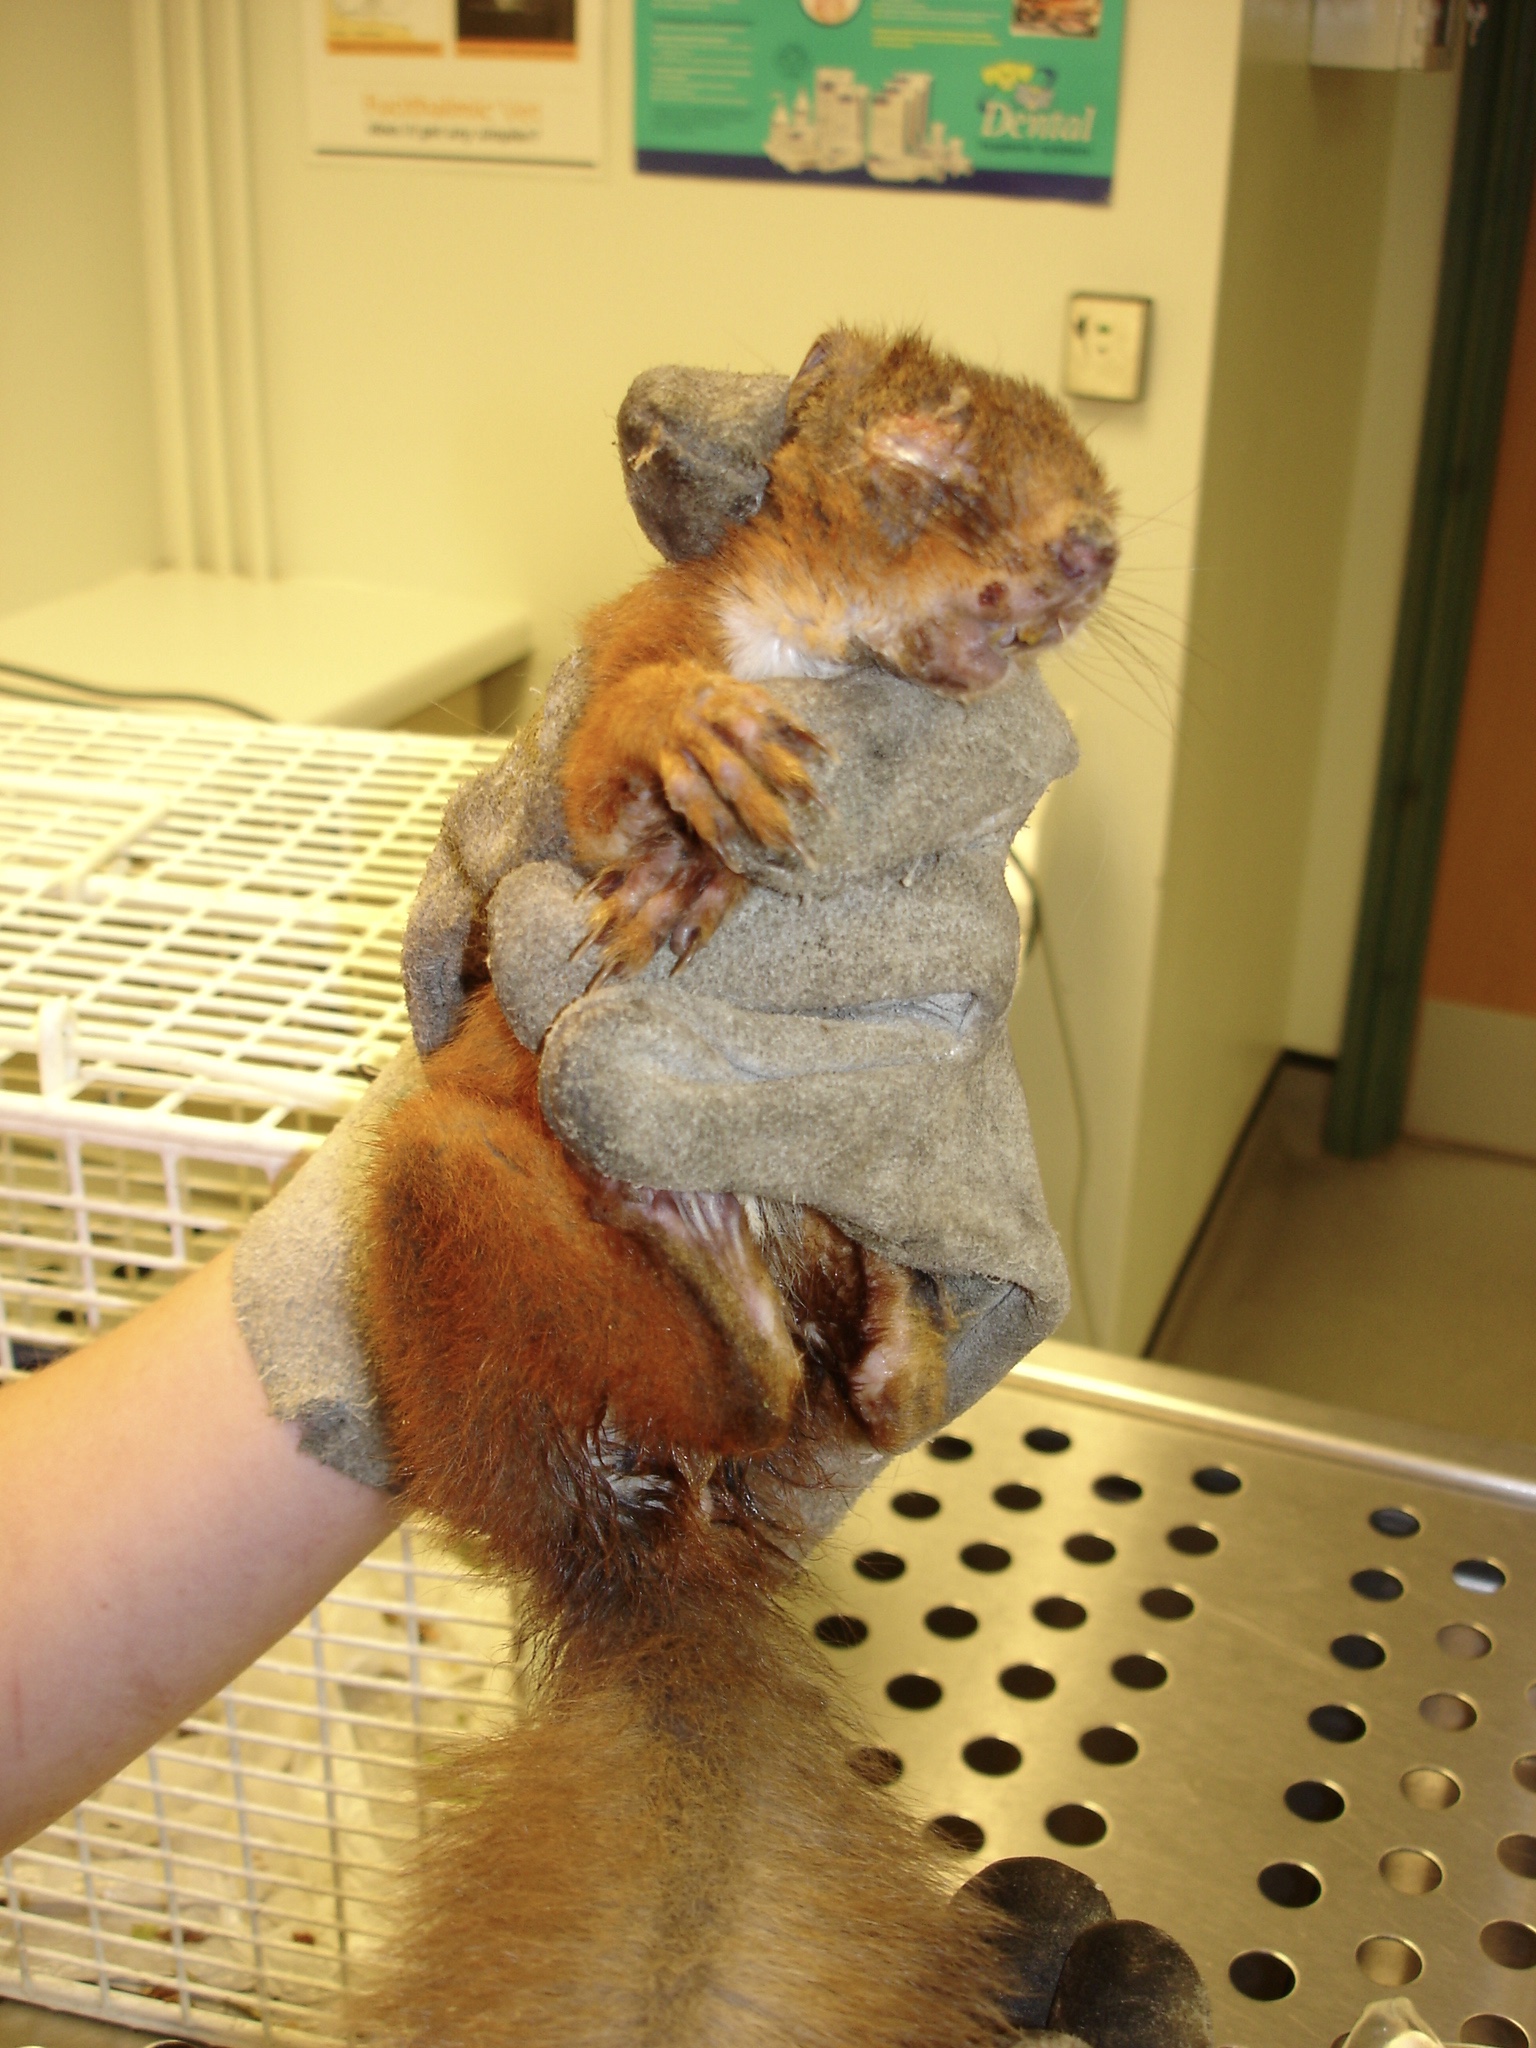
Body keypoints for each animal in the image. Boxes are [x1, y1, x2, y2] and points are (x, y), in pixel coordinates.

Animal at [355, 329, 1120, 2048]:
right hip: (459, 1211)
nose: (1092, 553)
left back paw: (875, 1312)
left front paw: (708, 870)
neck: (812, 650)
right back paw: (709, 1295)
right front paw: (697, 768)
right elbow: (601, 757)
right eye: (926, 436)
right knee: (652, 1420)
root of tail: (645, 1556)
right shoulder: (634, 647)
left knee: (823, 1393)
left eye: (1097, 473)